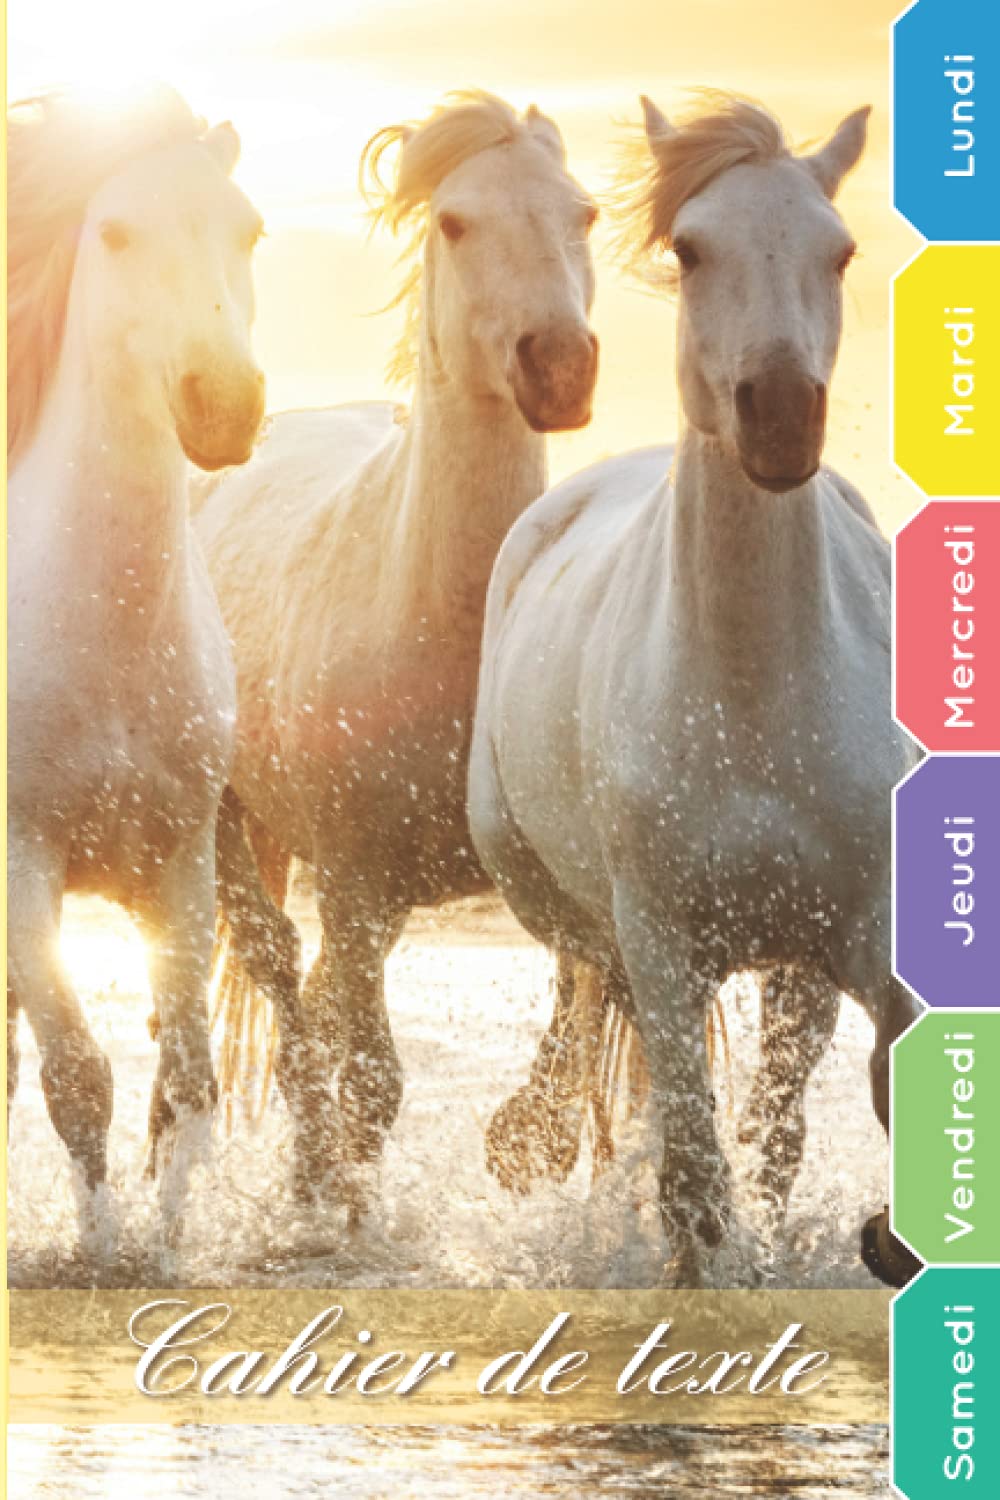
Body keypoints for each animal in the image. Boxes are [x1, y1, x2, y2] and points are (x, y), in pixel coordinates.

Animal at [192, 92, 600, 1201]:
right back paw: (310, 1170)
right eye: (455, 222)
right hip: (240, 832)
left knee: (316, 989)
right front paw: (344, 1203)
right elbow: (372, 1081)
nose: (560, 366)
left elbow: (576, 1016)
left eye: (584, 213)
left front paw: (530, 1137)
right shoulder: (354, 883)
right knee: (280, 969)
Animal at [468, 91, 922, 1287]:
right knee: (590, 1033)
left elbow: (838, 1109)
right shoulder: (666, 950)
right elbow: (691, 1174)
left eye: (840, 250)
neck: (754, 704)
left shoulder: (855, 940)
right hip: (570, 909)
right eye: (689, 247)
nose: (780, 417)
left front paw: (881, 1239)